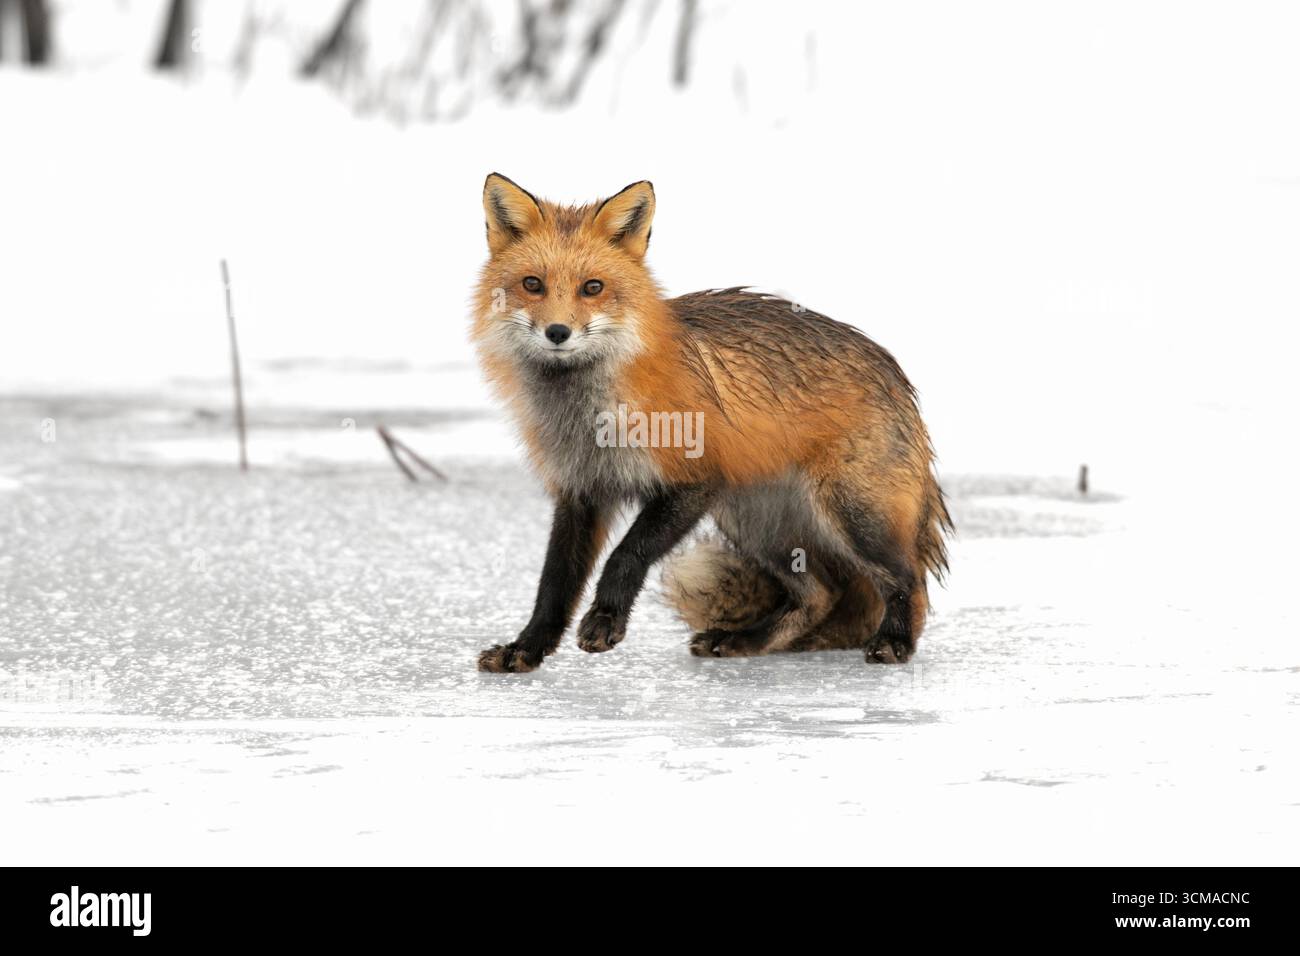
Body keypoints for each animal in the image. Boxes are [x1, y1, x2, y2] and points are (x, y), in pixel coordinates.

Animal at [472, 173, 951, 673]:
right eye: (532, 284)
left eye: (592, 287)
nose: (558, 333)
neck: (589, 418)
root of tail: (897, 378)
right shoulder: (579, 491)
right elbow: (553, 586)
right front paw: (526, 648)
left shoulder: (695, 480)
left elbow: (626, 555)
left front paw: (605, 621)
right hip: (755, 522)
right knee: (819, 594)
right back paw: (746, 640)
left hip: (851, 514)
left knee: (908, 578)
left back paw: (895, 641)